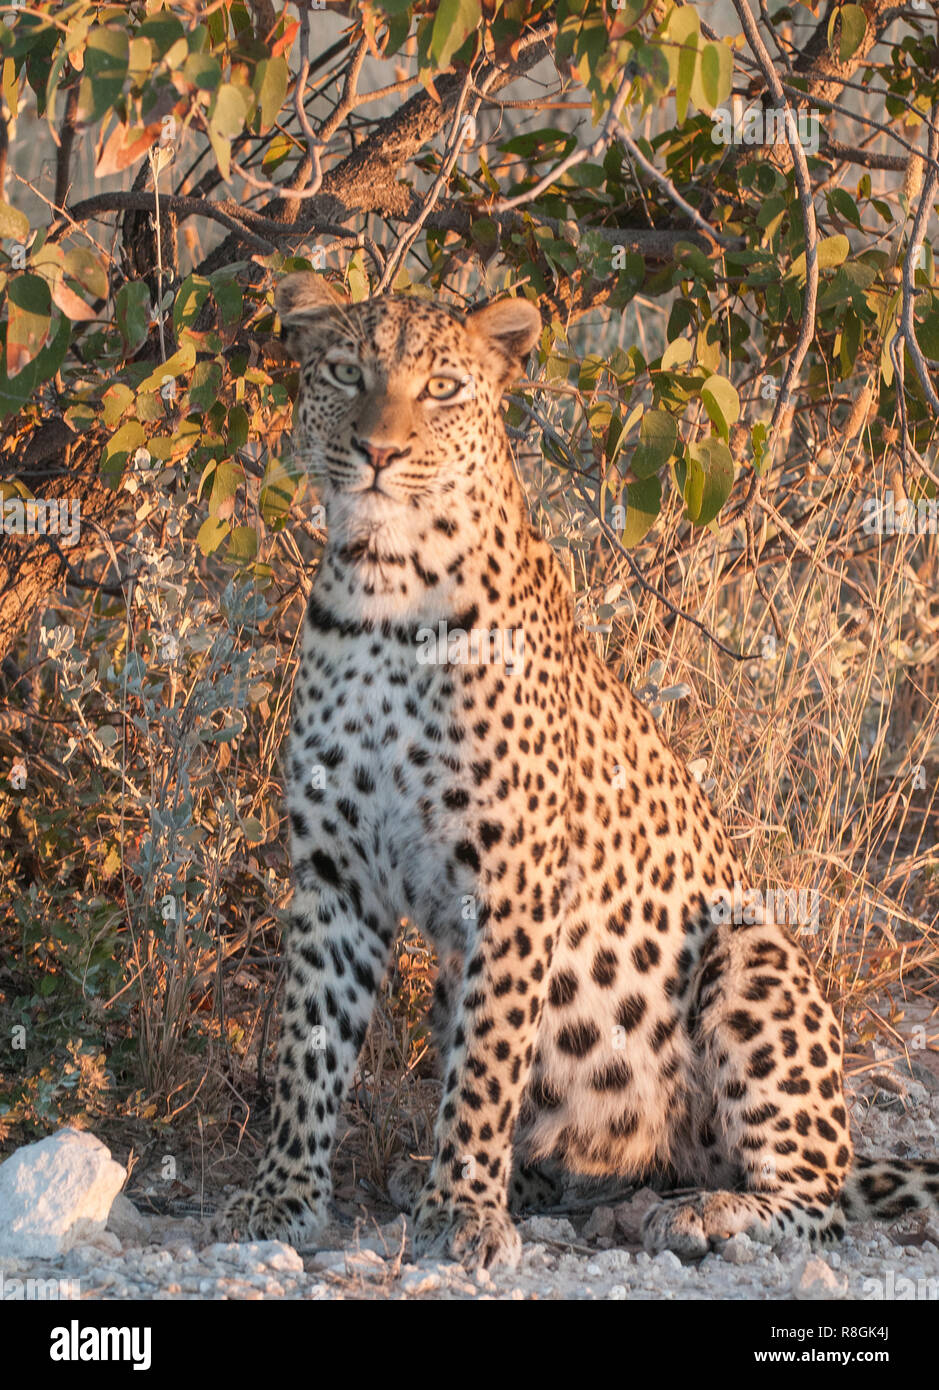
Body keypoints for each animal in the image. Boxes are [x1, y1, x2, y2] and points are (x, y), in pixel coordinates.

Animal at [214, 269, 939, 1269]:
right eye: (343, 371)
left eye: (442, 388)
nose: (378, 451)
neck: (382, 580)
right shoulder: (334, 874)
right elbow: (307, 1050)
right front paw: (280, 1197)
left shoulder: (511, 878)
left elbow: (486, 1062)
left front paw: (462, 1212)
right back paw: (510, 1180)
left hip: (748, 953)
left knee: (813, 1197)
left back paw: (707, 1213)